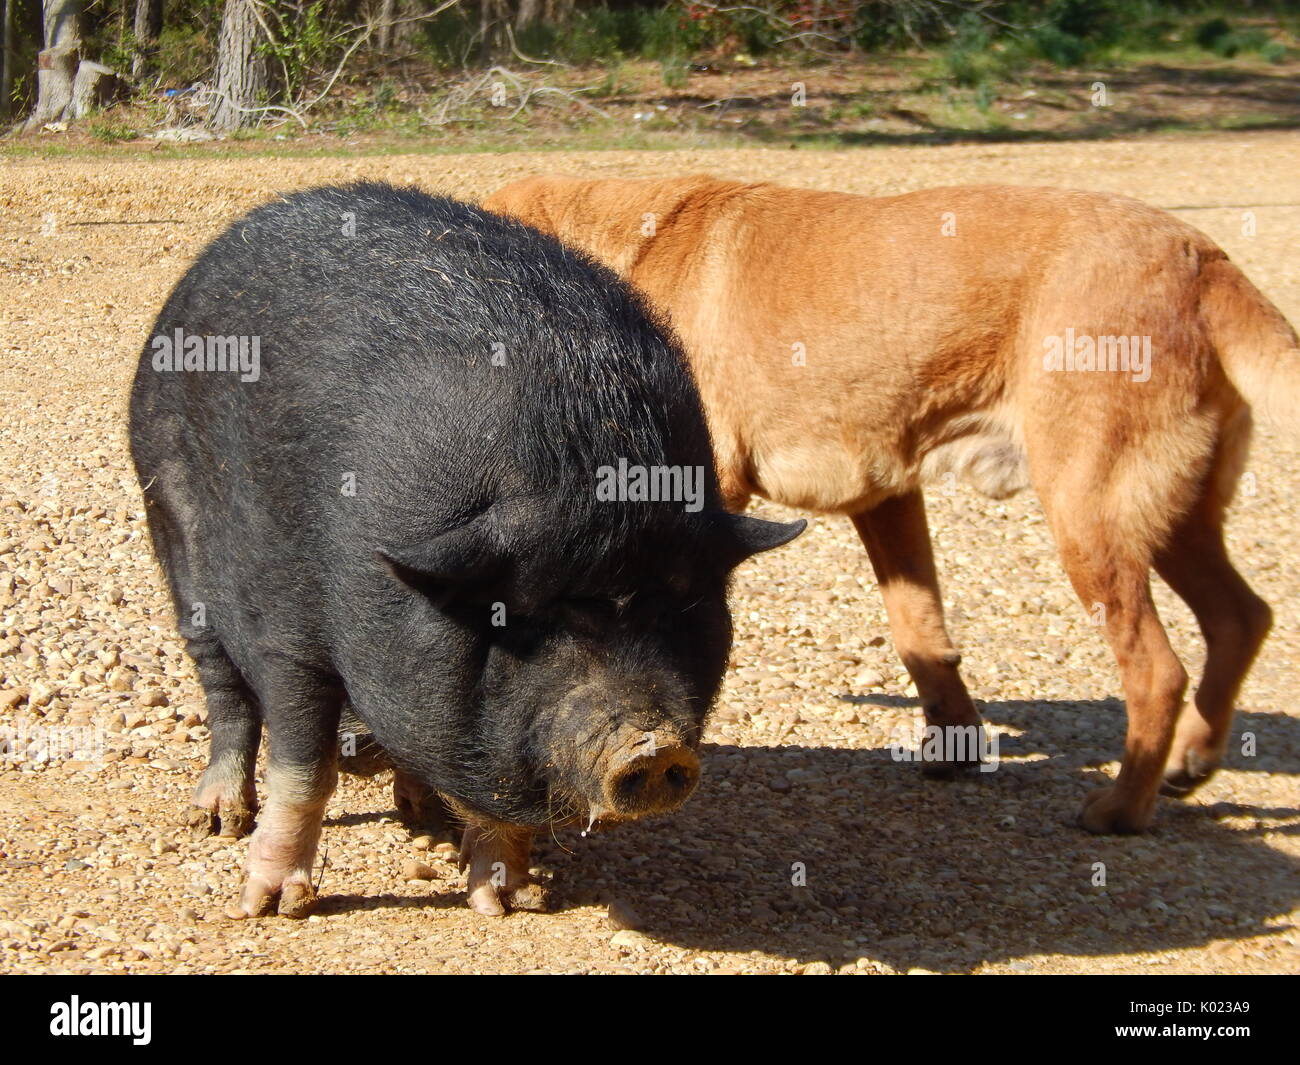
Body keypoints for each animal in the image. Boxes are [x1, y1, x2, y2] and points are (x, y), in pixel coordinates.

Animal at [128, 182, 803, 917]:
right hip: (170, 525)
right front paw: (271, 906)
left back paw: (422, 816)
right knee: (224, 686)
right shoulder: (287, 631)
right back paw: (218, 819)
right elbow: (304, 768)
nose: (650, 747)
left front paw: (508, 901)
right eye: (525, 615)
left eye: (681, 603)